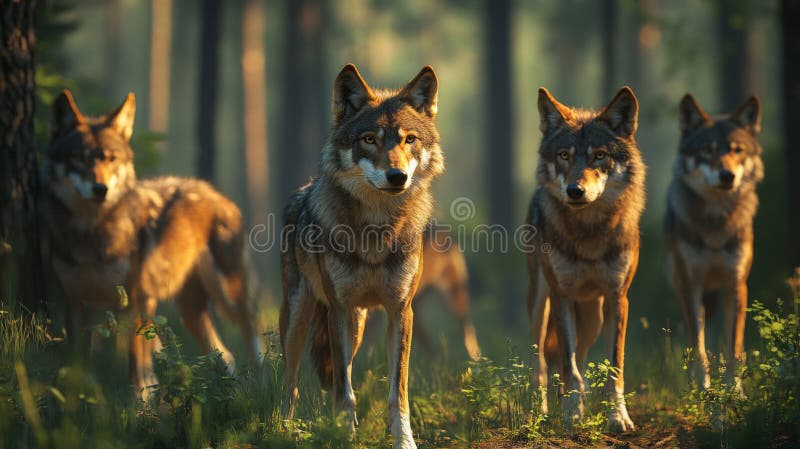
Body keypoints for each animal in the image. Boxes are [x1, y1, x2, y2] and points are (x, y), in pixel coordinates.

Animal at [45, 90, 260, 396]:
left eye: (111, 159)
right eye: (78, 158)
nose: (100, 189)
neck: (92, 233)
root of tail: (215, 191)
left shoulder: (138, 302)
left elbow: (138, 372)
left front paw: (141, 406)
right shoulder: (75, 303)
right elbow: (76, 367)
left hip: (228, 297)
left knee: (253, 337)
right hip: (190, 312)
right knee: (225, 355)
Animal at [280, 64, 443, 449]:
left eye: (409, 139)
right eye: (369, 139)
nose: (397, 176)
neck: (376, 229)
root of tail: (302, 192)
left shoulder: (401, 311)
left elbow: (397, 392)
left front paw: (404, 440)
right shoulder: (338, 309)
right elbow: (345, 391)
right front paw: (343, 436)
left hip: (357, 326)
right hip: (299, 317)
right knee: (289, 383)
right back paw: (281, 430)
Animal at [526, 87, 645, 432]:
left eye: (600, 155)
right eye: (564, 155)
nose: (574, 190)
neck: (589, 233)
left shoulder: (618, 298)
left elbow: (613, 367)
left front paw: (617, 417)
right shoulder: (561, 295)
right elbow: (567, 366)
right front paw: (571, 416)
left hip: (594, 316)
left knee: (580, 354)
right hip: (540, 304)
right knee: (542, 363)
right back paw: (541, 412)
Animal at [665, 94, 763, 391]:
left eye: (737, 150)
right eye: (707, 150)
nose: (727, 175)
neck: (717, 223)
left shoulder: (736, 284)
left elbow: (734, 347)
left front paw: (734, 390)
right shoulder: (691, 285)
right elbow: (699, 348)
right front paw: (704, 389)